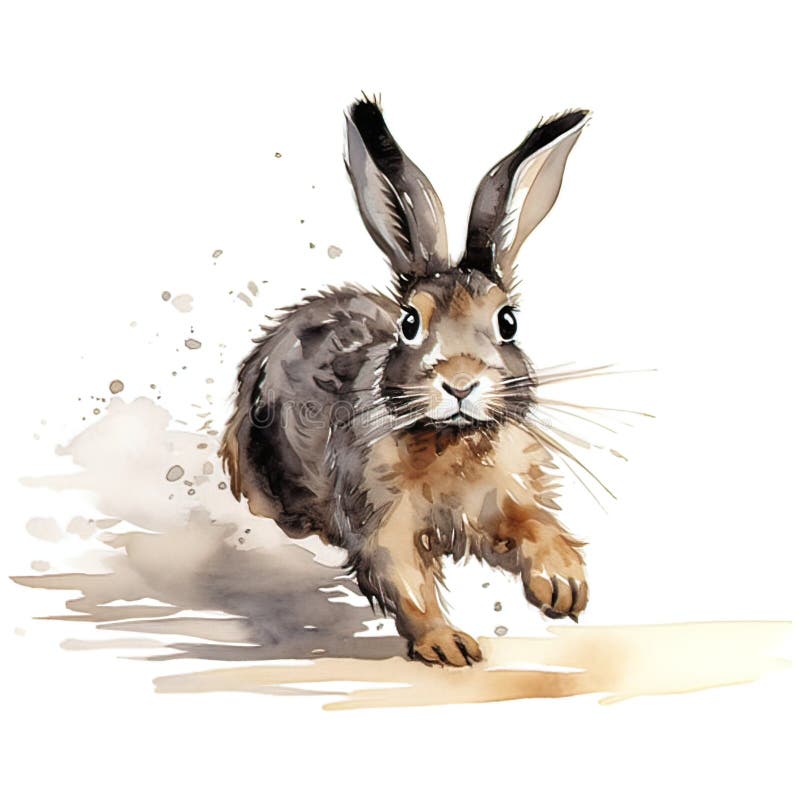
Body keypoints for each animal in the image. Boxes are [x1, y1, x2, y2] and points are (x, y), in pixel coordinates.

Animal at [221, 97, 591, 666]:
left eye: (508, 322)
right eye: (409, 323)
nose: (460, 383)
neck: (452, 439)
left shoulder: (508, 495)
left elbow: (535, 527)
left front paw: (565, 586)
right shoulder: (379, 516)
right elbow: (405, 580)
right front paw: (448, 646)